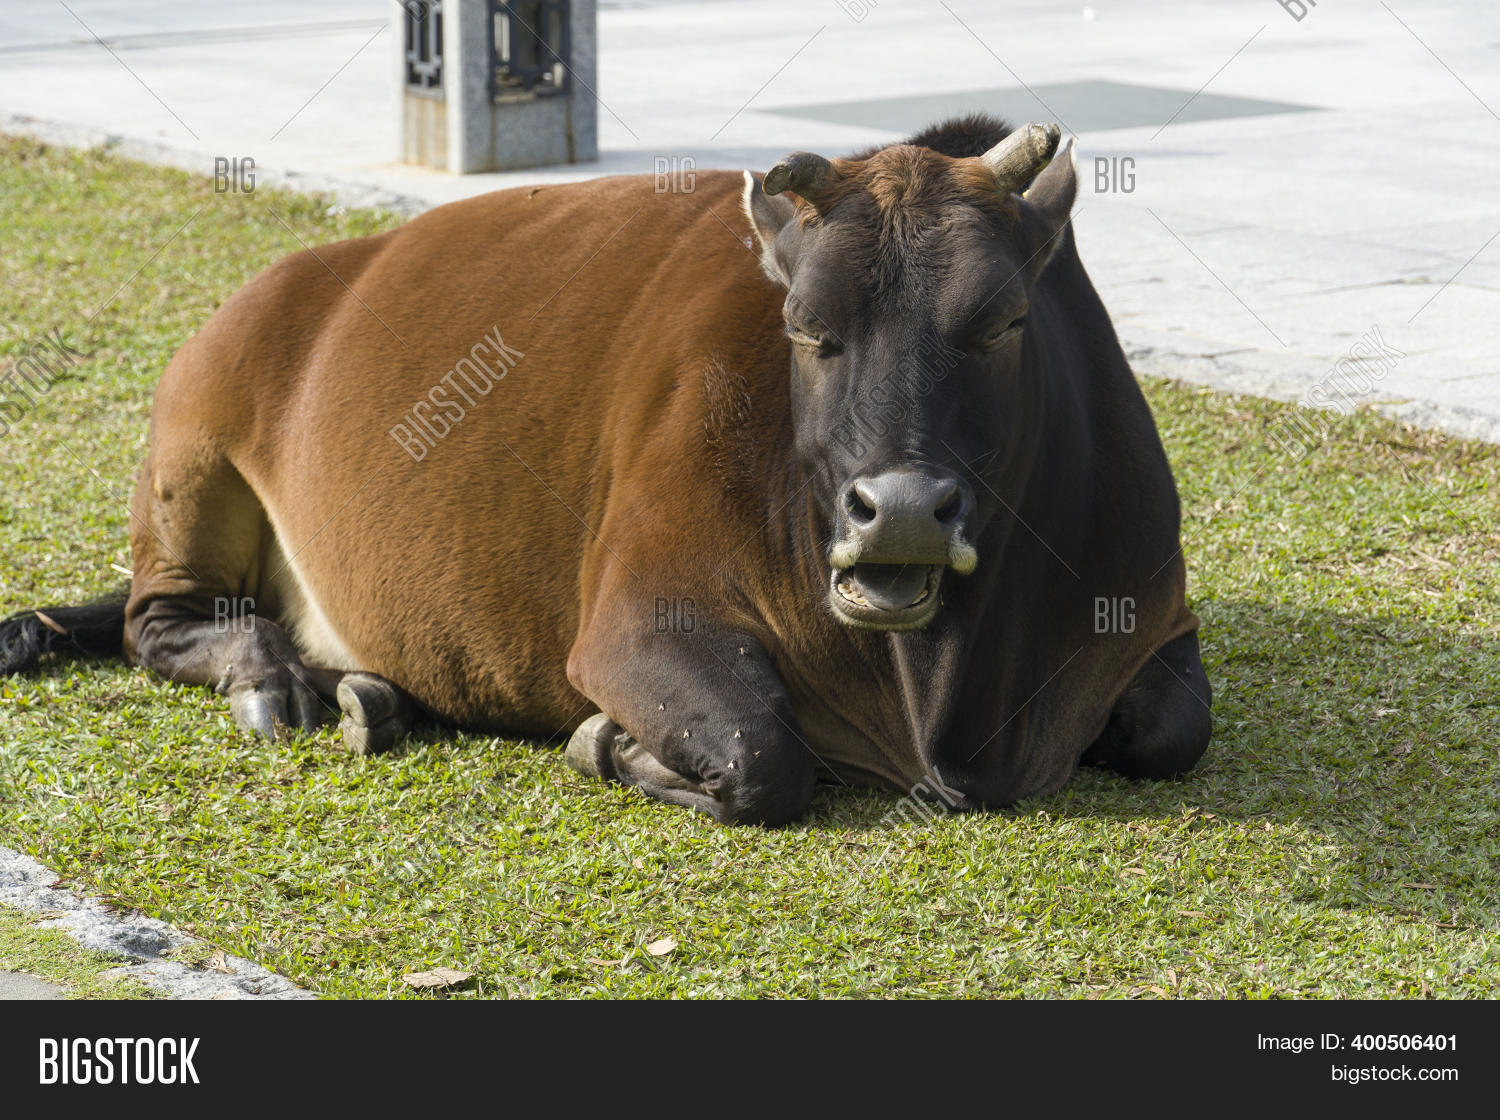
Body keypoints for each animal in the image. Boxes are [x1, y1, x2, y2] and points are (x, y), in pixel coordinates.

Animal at [0, 114, 1211, 826]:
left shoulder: (1155, 612)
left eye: (1004, 322)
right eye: (806, 327)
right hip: (191, 448)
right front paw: (604, 739)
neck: (937, 691)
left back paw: (368, 693)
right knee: (159, 620)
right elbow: (764, 758)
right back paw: (272, 677)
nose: (901, 513)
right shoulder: (637, 618)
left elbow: (1174, 732)